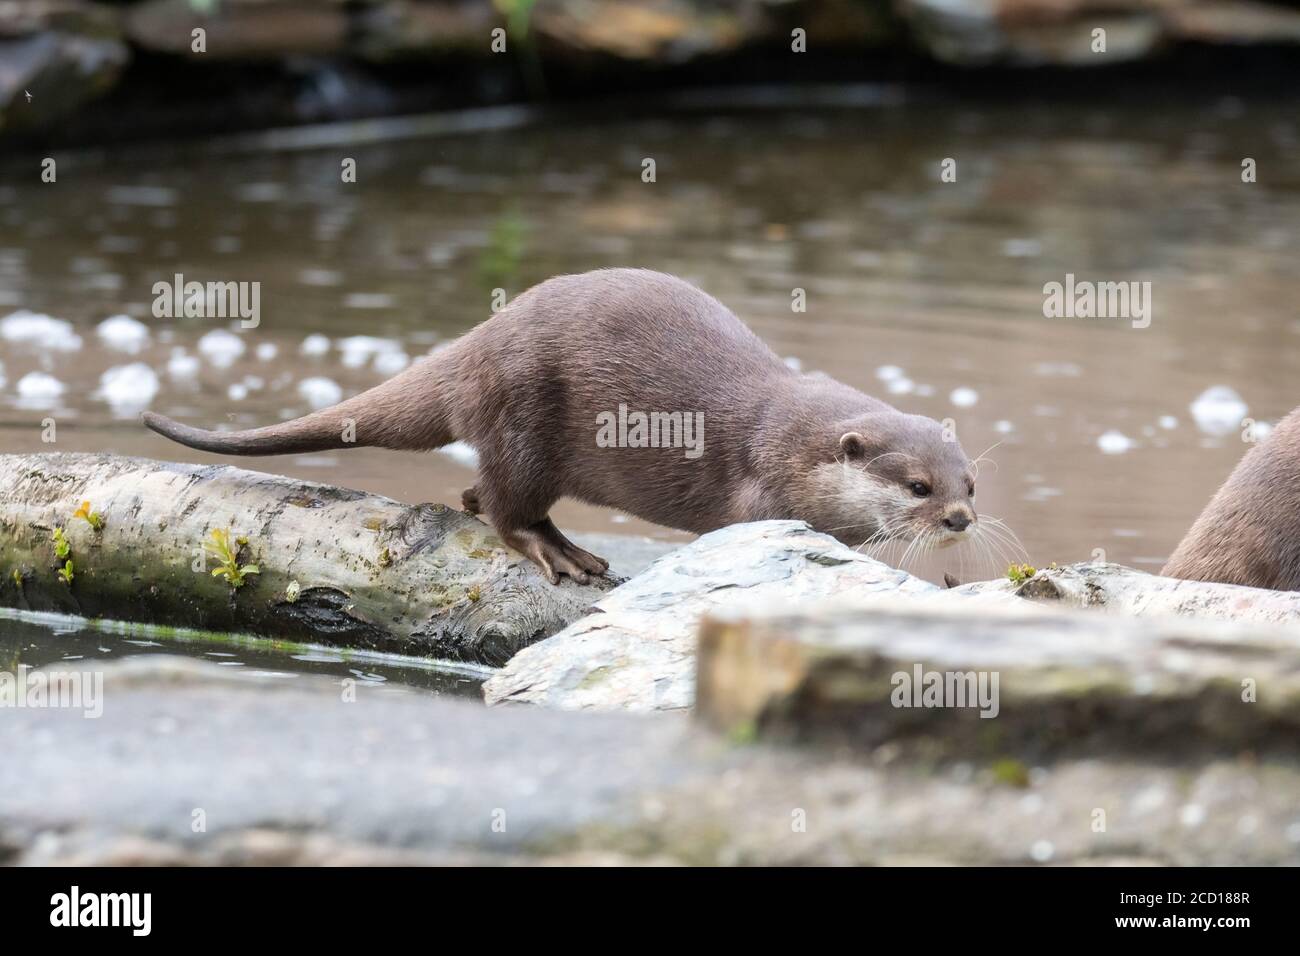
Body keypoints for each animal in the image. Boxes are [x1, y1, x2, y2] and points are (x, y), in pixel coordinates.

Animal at [143, 269, 980, 584]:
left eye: (969, 482)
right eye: (918, 485)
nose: (962, 519)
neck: (787, 443)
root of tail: (474, 347)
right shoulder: (757, 493)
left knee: (474, 497)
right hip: (522, 419)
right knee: (498, 505)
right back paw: (561, 552)